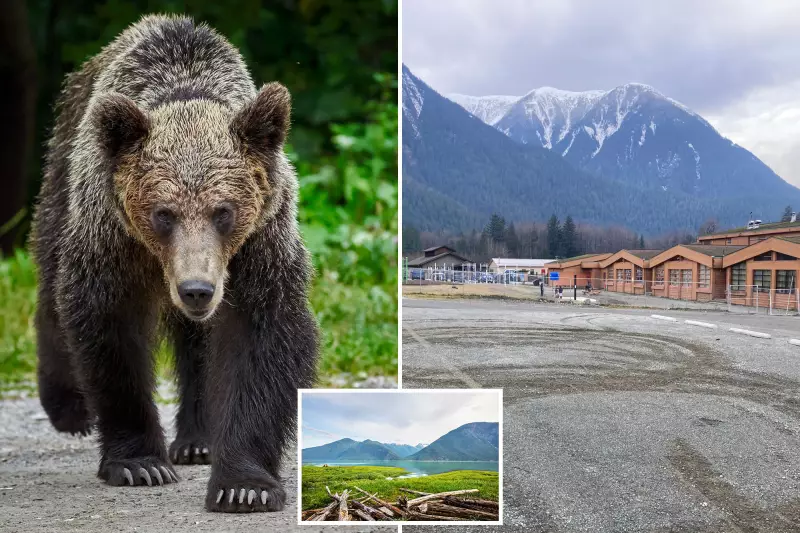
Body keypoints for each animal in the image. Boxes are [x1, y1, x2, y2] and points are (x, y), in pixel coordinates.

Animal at [30, 14, 318, 512]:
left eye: (223, 211)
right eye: (163, 213)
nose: (196, 290)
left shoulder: (259, 246)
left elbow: (260, 340)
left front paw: (244, 484)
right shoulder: (114, 238)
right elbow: (110, 331)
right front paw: (139, 462)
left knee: (198, 345)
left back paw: (199, 440)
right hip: (61, 184)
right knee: (52, 283)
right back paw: (68, 407)